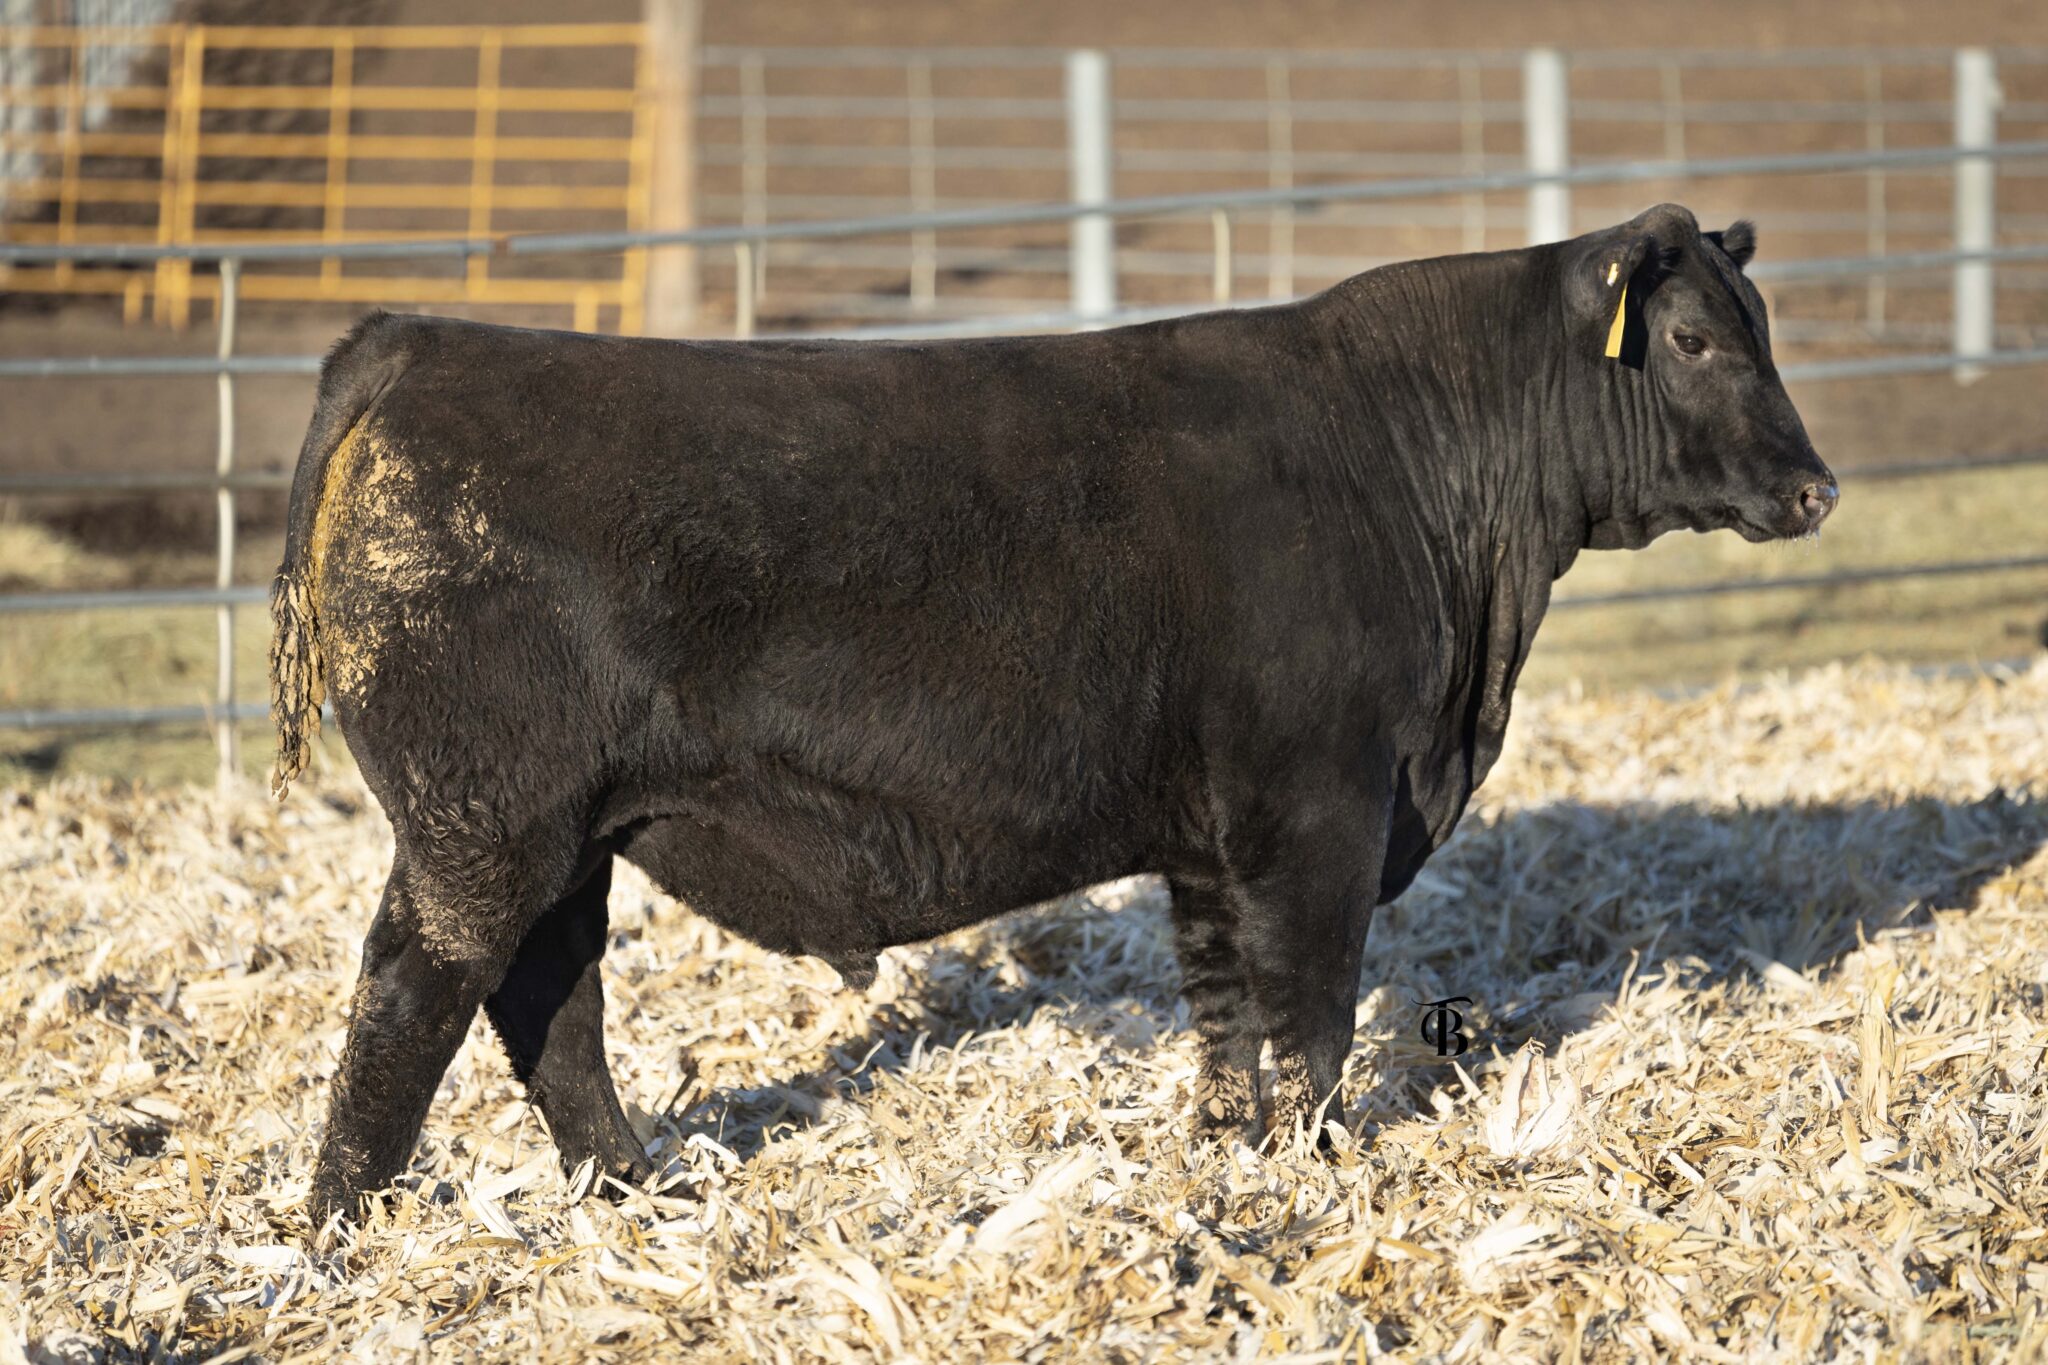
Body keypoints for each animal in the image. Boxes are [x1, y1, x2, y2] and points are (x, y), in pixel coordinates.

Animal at [270, 203, 1835, 1222]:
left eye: (1755, 323)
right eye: (1691, 338)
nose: (1817, 488)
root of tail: (414, 342)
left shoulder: (1213, 835)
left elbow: (1226, 1011)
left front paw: (1228, 1153)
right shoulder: (1319, 808)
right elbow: (1313, 1017)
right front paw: (1315, 1173)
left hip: (558, 833)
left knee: (551, 1000)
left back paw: (630, 1190)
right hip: (487, 822)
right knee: (417, 989)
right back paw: (341, 1233)